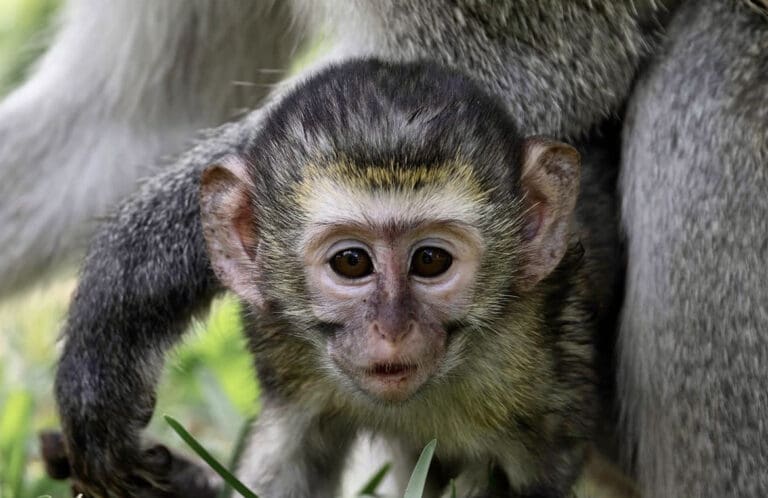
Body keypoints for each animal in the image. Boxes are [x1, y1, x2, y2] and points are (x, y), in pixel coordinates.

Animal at [6, 0, 760, 497]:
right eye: (350, 264)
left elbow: (536, 70)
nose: (392, 330)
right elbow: (130, 121)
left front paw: (122, 285)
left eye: (431, 262)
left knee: (718, 55)